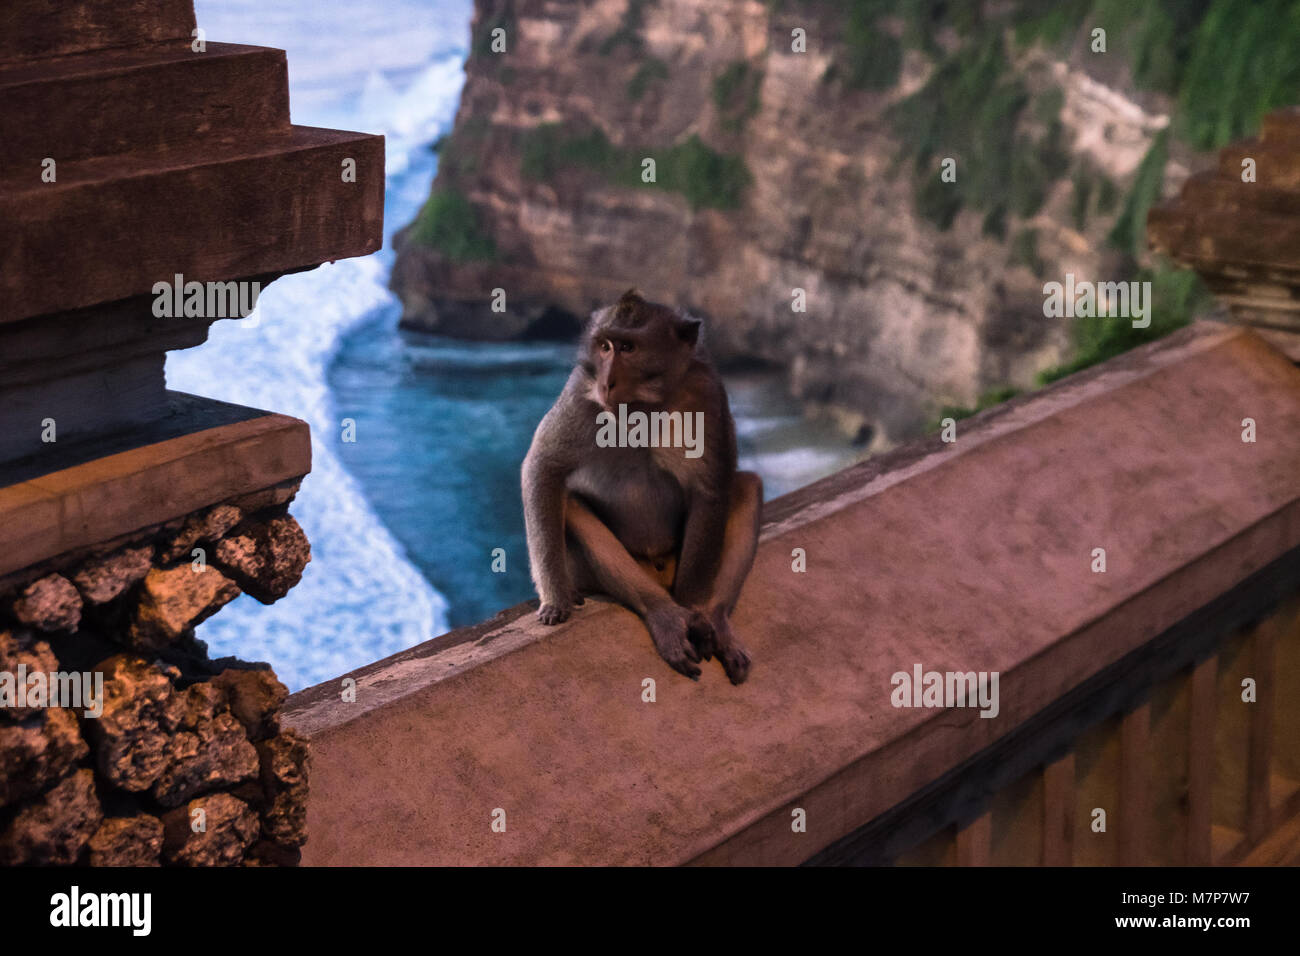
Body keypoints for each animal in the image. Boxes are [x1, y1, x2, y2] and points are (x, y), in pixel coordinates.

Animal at [521, 289, 763, 683]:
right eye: (605, 346)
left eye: (628, 347)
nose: (606, 382)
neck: (642, 406)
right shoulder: (580, 390)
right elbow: (544, 467)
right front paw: (556, 601)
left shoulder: (707, 391)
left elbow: (711, 489)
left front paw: (699, 615)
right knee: (571, 505)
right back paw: (663, 613)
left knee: (746, 487)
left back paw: (714, 620)